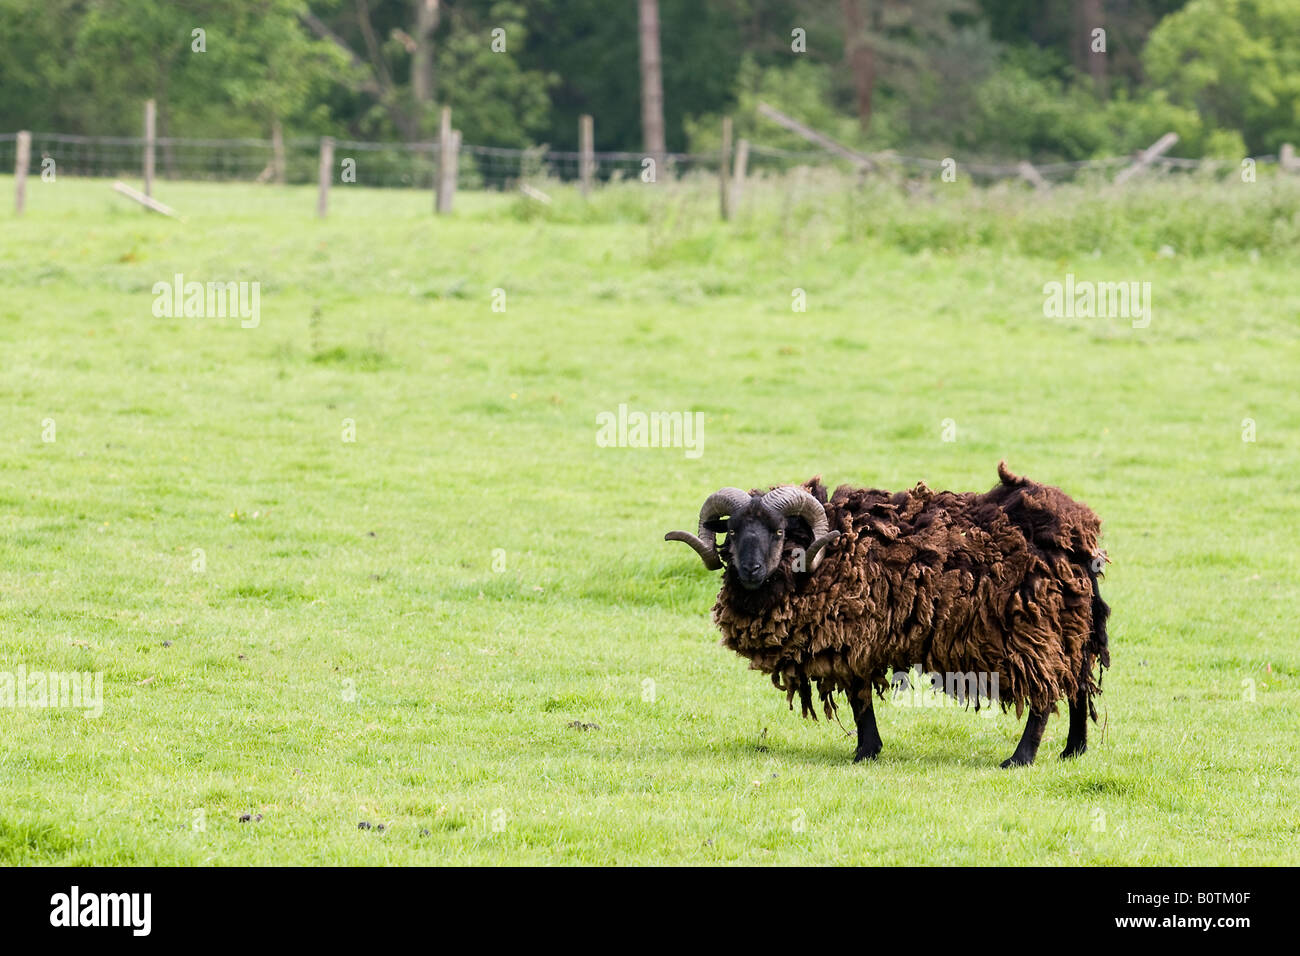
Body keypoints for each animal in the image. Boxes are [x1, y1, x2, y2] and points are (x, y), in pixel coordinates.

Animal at [665, 462, 1110, 767]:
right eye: (733, 532)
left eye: (778, 532)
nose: (750, 570)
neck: (827, 553)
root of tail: (1077, 536)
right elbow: (859, 697)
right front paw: (869, 749)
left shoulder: (854, 638)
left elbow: (859, 698)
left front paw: (865, 751)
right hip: (1070, 627)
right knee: (1077, 685)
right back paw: (1074, 750)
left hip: (1034, 628)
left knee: (1044, 695)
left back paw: (1020, 758)